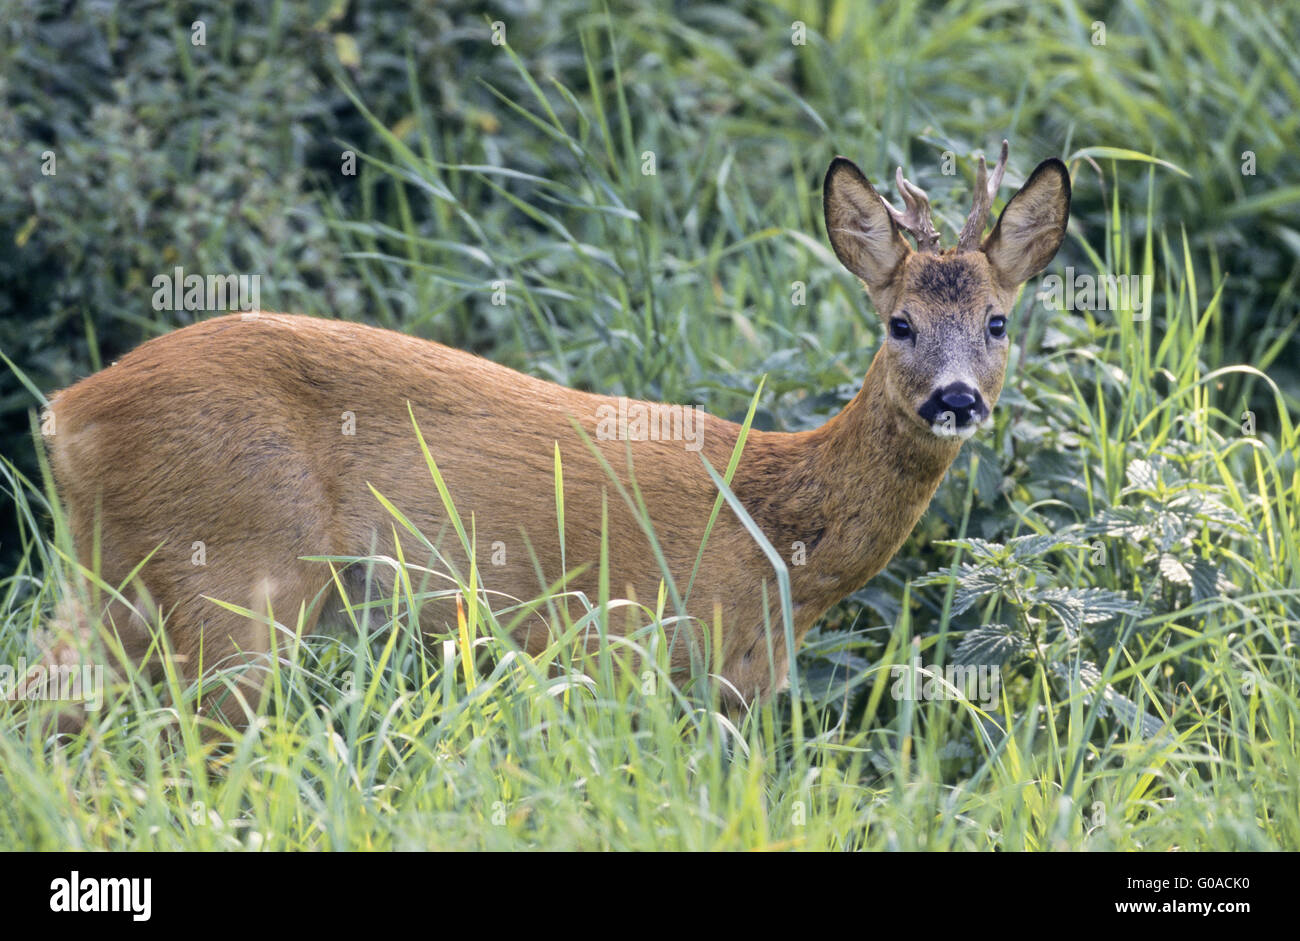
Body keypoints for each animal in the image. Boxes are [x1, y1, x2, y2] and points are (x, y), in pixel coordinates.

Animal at [32, 141, 1069, 733]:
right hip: (229, 579)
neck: (778, 535)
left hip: (116, 591)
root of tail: (67, 414)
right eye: (898, 321)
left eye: (998, 321)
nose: (955, 400)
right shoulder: (636, 645)